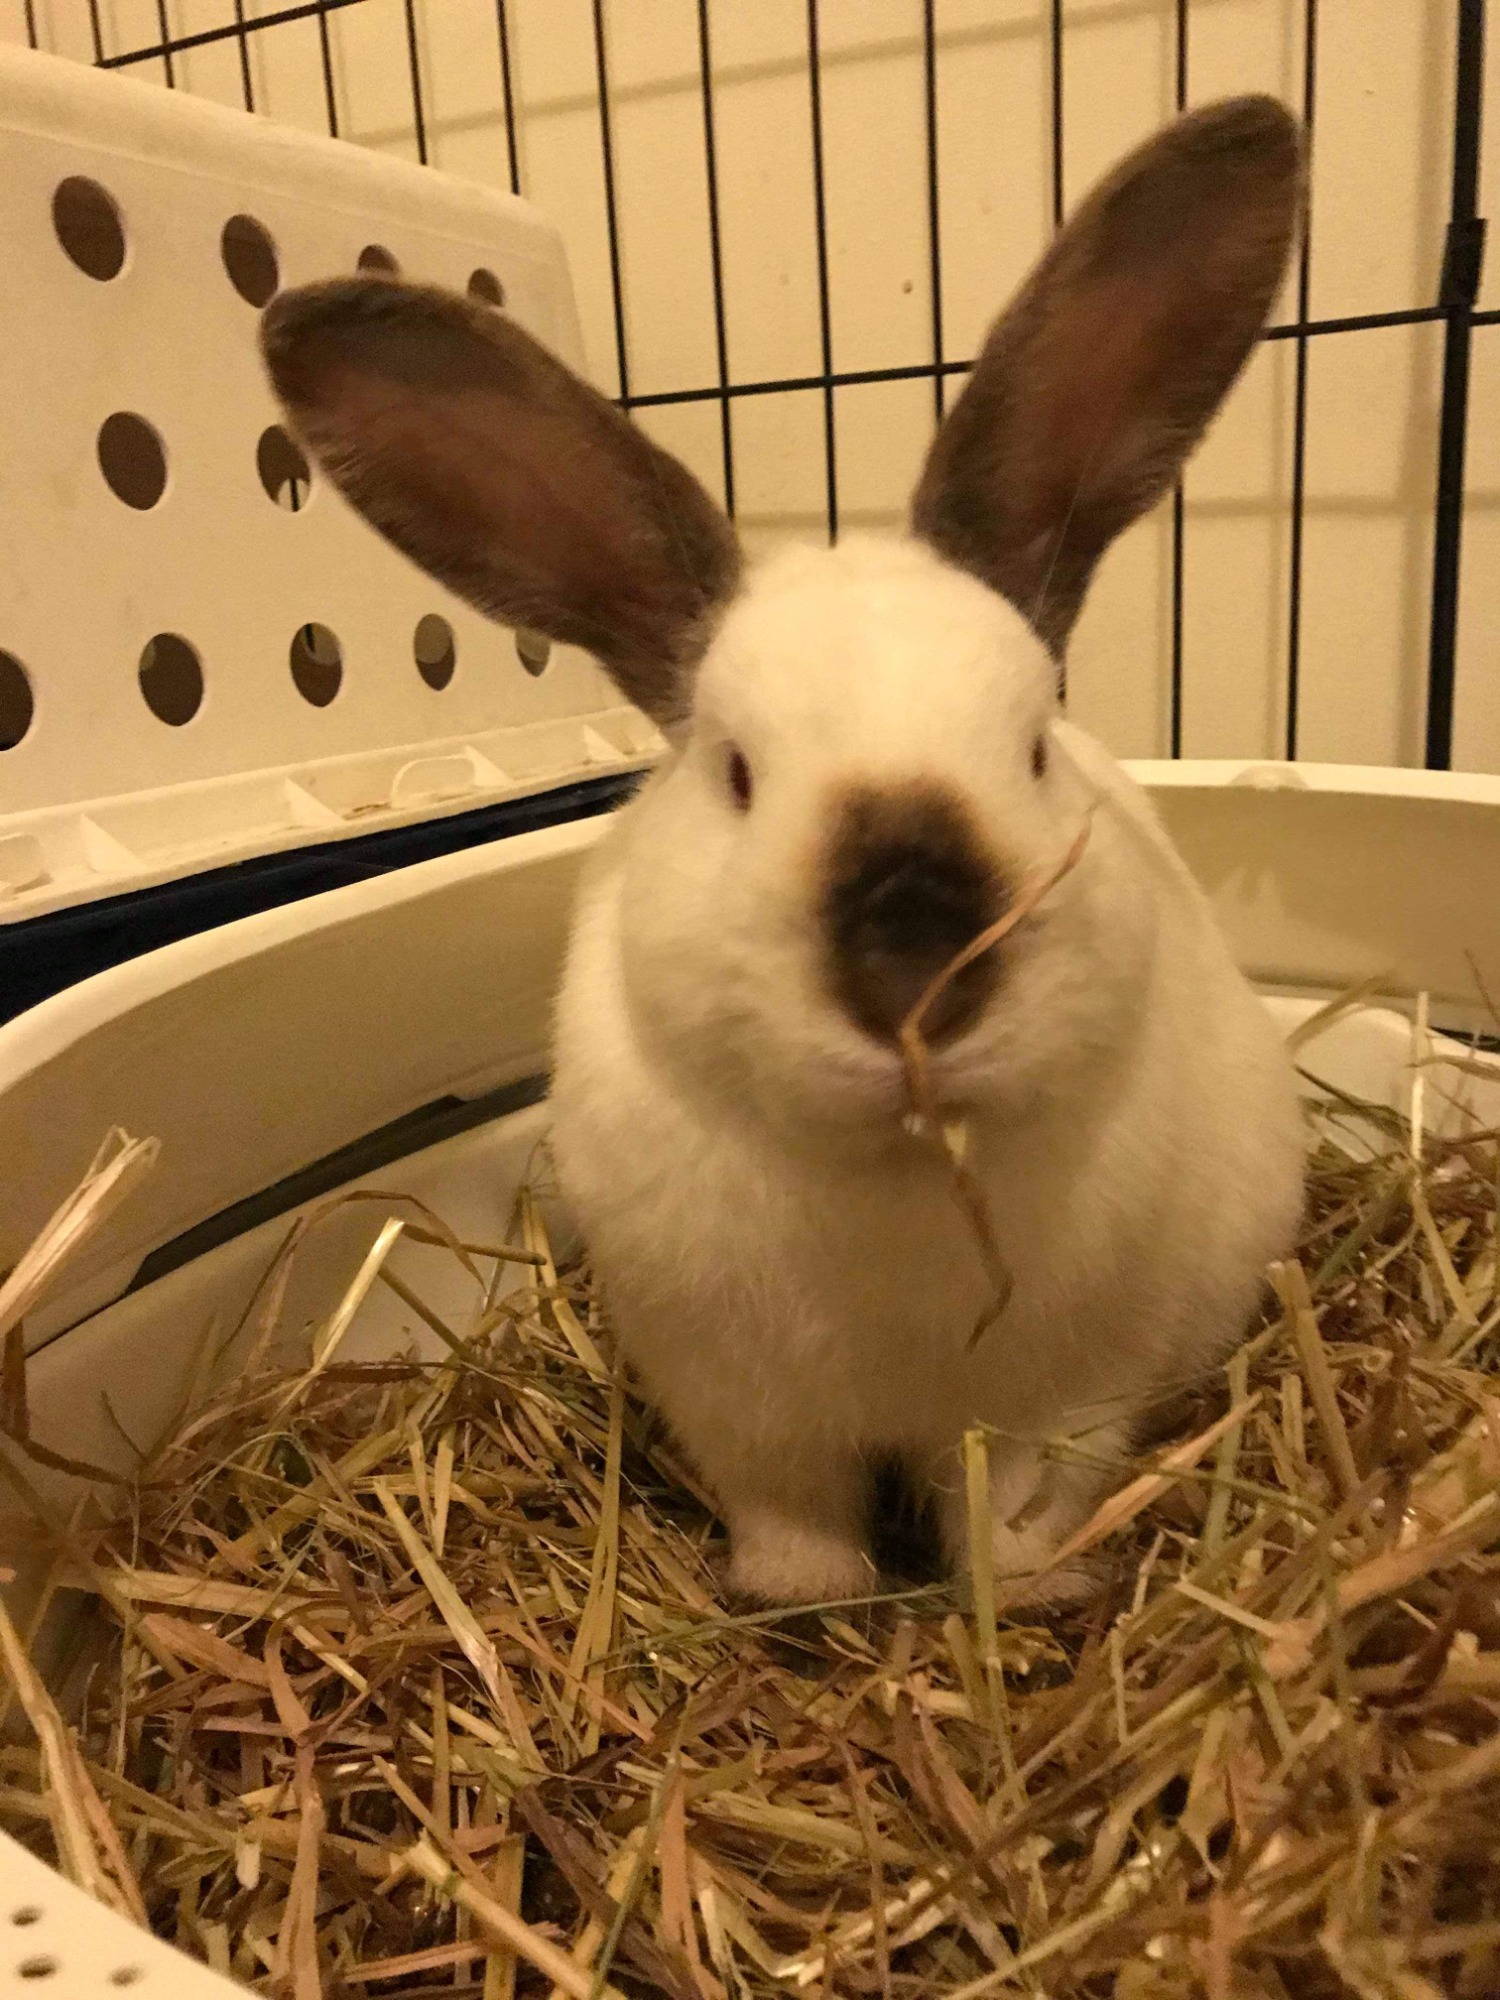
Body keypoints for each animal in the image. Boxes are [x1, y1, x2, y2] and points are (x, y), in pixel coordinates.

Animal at [261, 95, 1307, 1610]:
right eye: (737, 770)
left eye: (1036, 743)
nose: (916, 971)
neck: (899, 1183)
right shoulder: (742, 1405)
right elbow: (794, 1508)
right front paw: (799, 1595)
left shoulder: (1068, 1398)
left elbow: (1016, 1507)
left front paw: (1025, 1595)